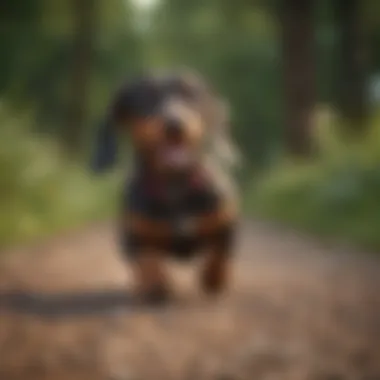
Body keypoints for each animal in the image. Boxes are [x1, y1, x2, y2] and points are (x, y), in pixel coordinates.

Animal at [91, 70, 240, 304]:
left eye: (191, 94)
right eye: (147, 98)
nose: (174, 125)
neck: (175, 186)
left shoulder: (226, 223)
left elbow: (219, 255)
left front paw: (213, 280)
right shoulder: (133, 237)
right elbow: (148, 260)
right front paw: (156, 287)